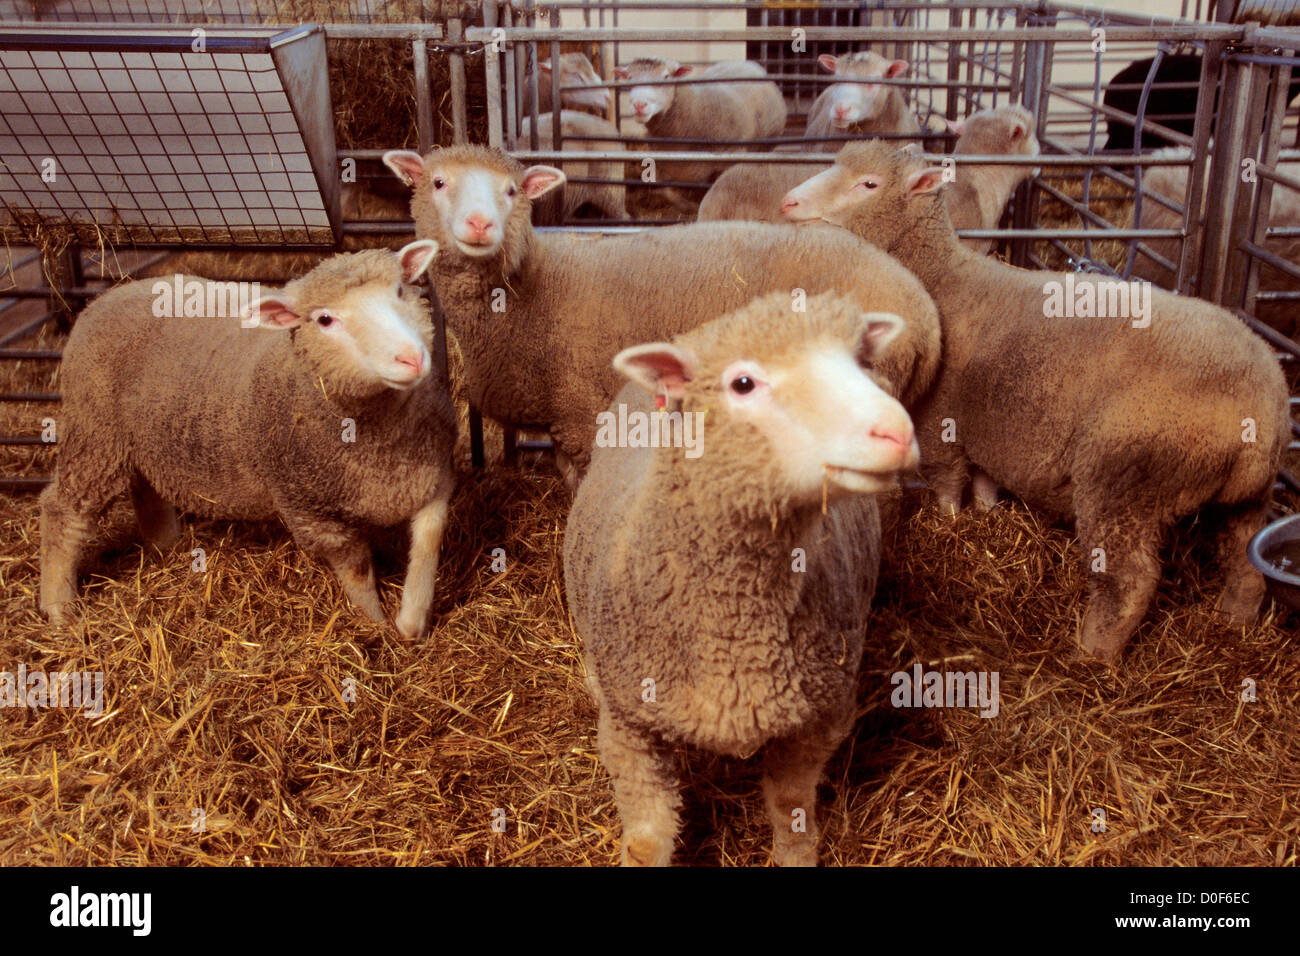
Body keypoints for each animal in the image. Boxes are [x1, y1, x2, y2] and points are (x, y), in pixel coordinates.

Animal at [39, 241, 457, 641]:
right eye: (324, 319)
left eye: (400, 290)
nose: (411, 358)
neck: (381, 441)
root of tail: (108, 296)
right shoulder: (312, 514)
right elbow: (357, 574)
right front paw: (374, 625)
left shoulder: (433, 477)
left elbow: (429, 540)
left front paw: (412, 622)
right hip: (95, 436)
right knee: (62, 511)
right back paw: (59, 607)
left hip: (142, 441)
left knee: (147, 493)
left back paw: (167, 548)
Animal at [383, 144, 940, 488]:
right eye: (438, 182)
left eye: (512, 191)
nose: (480, 224)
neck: (531, 289)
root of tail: (922, 305)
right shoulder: (563, 418)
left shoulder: (585, 413)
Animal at [563, 291, 919, 866]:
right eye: (743, 384)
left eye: (861, 360)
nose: (897, 432)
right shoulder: (630, 728)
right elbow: (647, 837)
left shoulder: (819, 720)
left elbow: (792, 806)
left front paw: (796, 854)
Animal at [614, 57, 787, 211]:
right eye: (629, 78)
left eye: (666, 77)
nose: (639, 105)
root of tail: (744, 62)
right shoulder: (664, 165)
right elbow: (667, 192)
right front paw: (687, 206)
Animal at [781, 139, 1291, 663]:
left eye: (869, 184)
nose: (788, 204)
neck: (941, 277)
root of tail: (1263, 402)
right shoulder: (992, 427)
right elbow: (986, 481)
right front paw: (986, 515)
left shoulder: (939, 420)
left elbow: (947, 483)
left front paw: (949, 522)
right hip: (1247, 496)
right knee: (1243, 560)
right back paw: (1234, 621)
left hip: (1125, 480)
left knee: (1129, 581)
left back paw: (1092, 655)